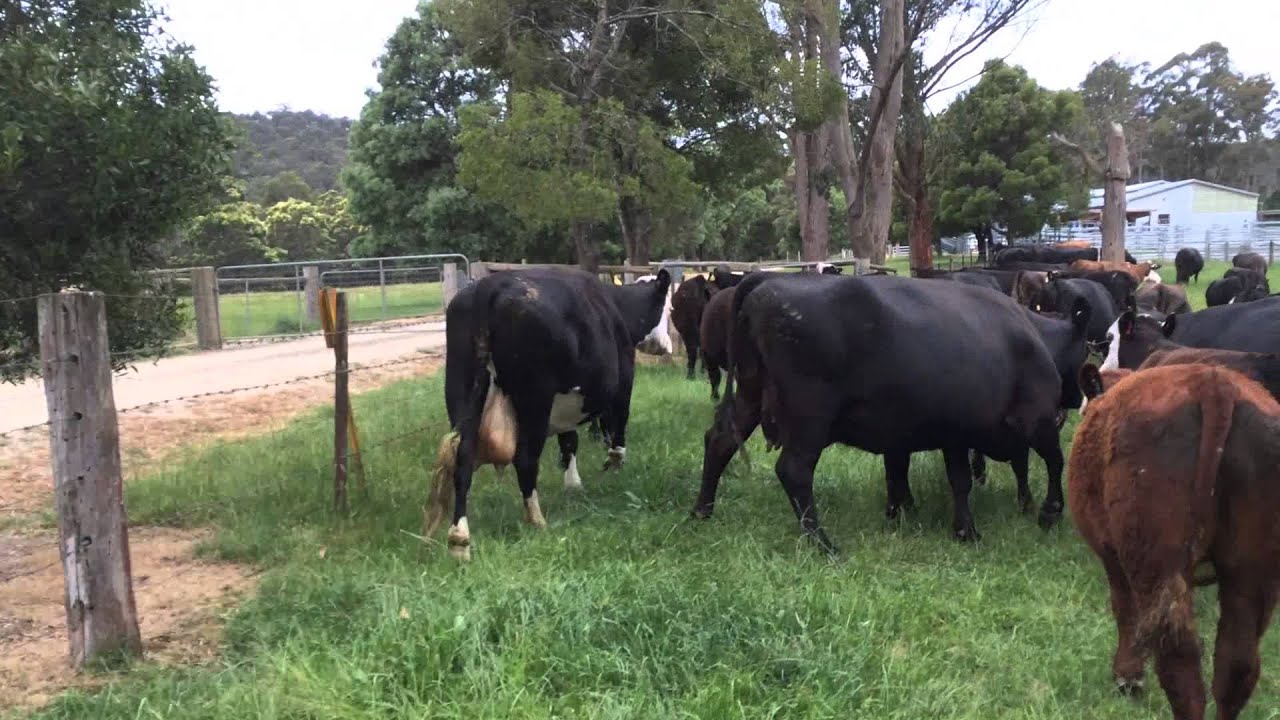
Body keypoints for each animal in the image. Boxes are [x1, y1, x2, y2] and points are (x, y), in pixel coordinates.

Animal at [429, 267, 672, 560]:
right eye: (668, 307)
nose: (666, 346)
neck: (617, 308)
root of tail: (489, 286)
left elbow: (569, 441)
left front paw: (573, 484)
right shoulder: (623, 383)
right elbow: (616, 426)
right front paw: (614, 464)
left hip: (461, 394)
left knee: (462, 459)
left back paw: (459, 540)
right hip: (536, 399)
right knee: (524, 459)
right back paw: (537, 520)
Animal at [692, 273, 1066, 550]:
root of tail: (768, 281)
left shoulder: (952, 433)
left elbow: (953, 480)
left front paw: (962, 530)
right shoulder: (1038, 417)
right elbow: (1055, 461)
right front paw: (1050, 512)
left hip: (750, 394)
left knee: (720, 440)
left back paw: (701, 512)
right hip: (810, 416)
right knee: (794, 470)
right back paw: (822, 544)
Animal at [1070, 362, 1280, 720]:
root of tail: (1213, 382)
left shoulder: (1111, 555)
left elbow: (1123, 610)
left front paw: (1128, 677)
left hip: (1158, 566)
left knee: (1180, 666)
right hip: (1253, 573)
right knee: (1237, 665)